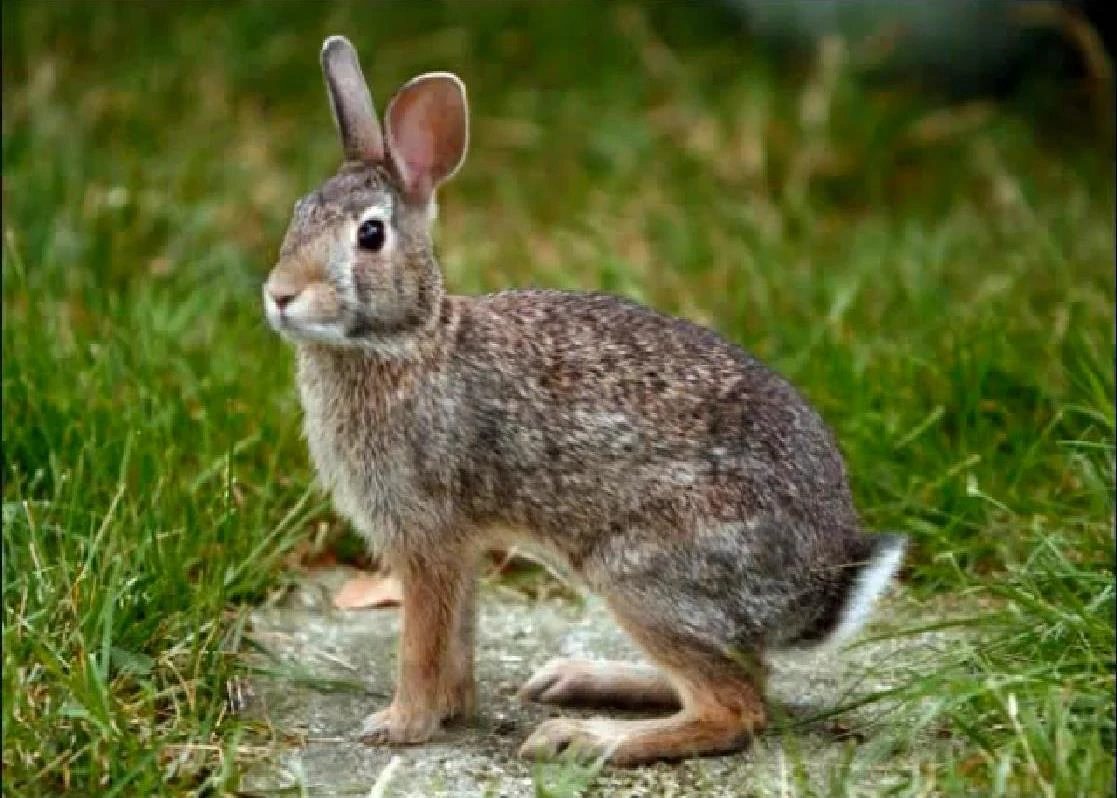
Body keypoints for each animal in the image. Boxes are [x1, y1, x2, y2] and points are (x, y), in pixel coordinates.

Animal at [262, 35, 907, 767]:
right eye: (298, 214)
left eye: (369, 236)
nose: (279, 295)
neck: (407, 342)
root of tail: (820, 582)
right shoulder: (460, 546)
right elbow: (458, 633)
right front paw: (452, 711)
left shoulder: (426, 535)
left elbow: (422, 640)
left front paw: (402, 724)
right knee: (745, 676)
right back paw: (577, 681)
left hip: (639, 571)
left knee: (735, 707)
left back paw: (582, 736)